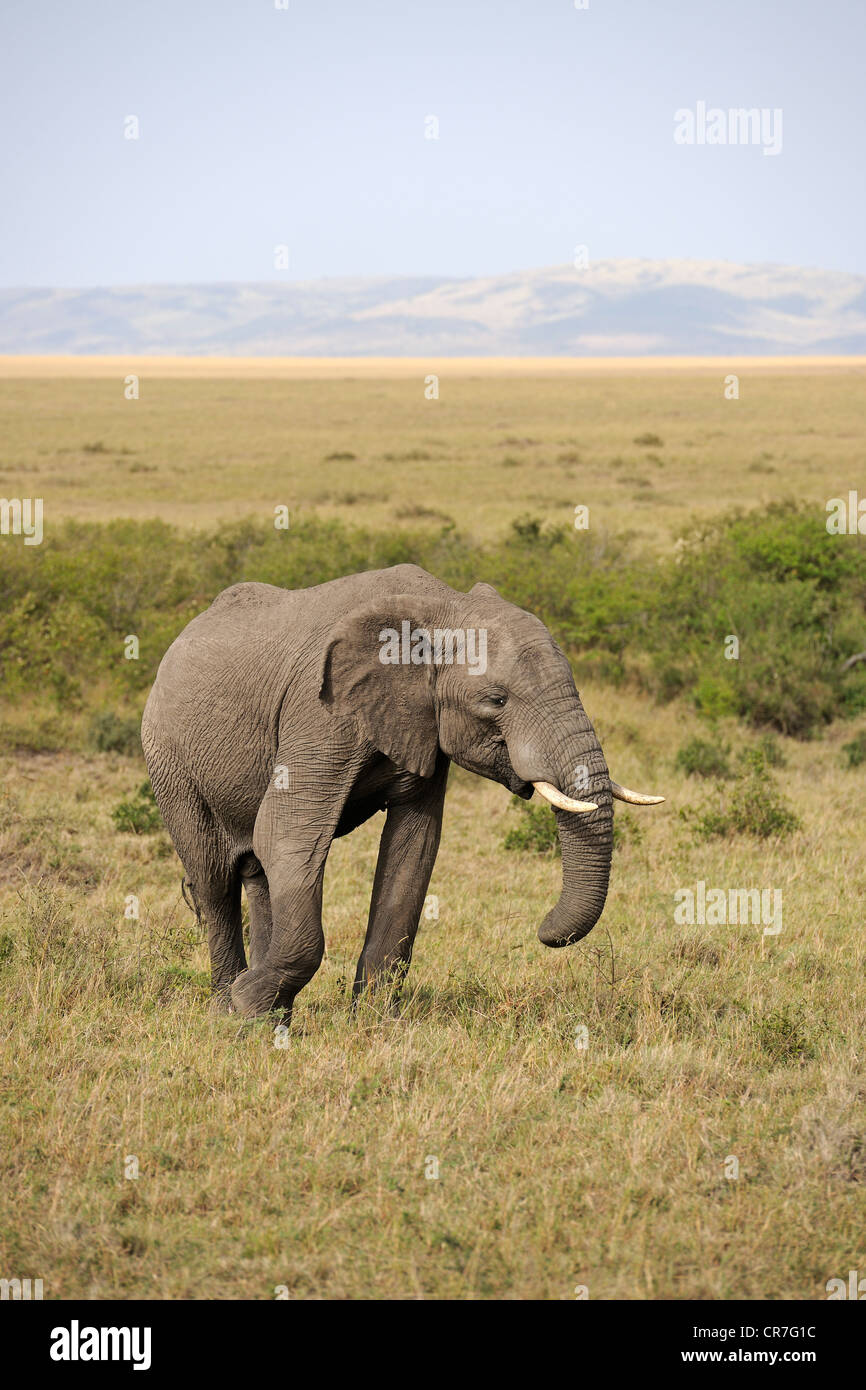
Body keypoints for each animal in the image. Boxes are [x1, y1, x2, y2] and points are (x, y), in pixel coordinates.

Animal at [141, 564, 663, 1019]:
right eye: (497, 700)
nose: (545, 931)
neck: (444, 606)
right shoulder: (319, 712)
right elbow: (288, 834)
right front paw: (246, 1007)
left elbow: (413, 849)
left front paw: (373, 1024)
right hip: (168, 761)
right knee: (213, 879)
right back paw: (227, 1010)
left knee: (256, 872)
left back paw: (272, 1015)